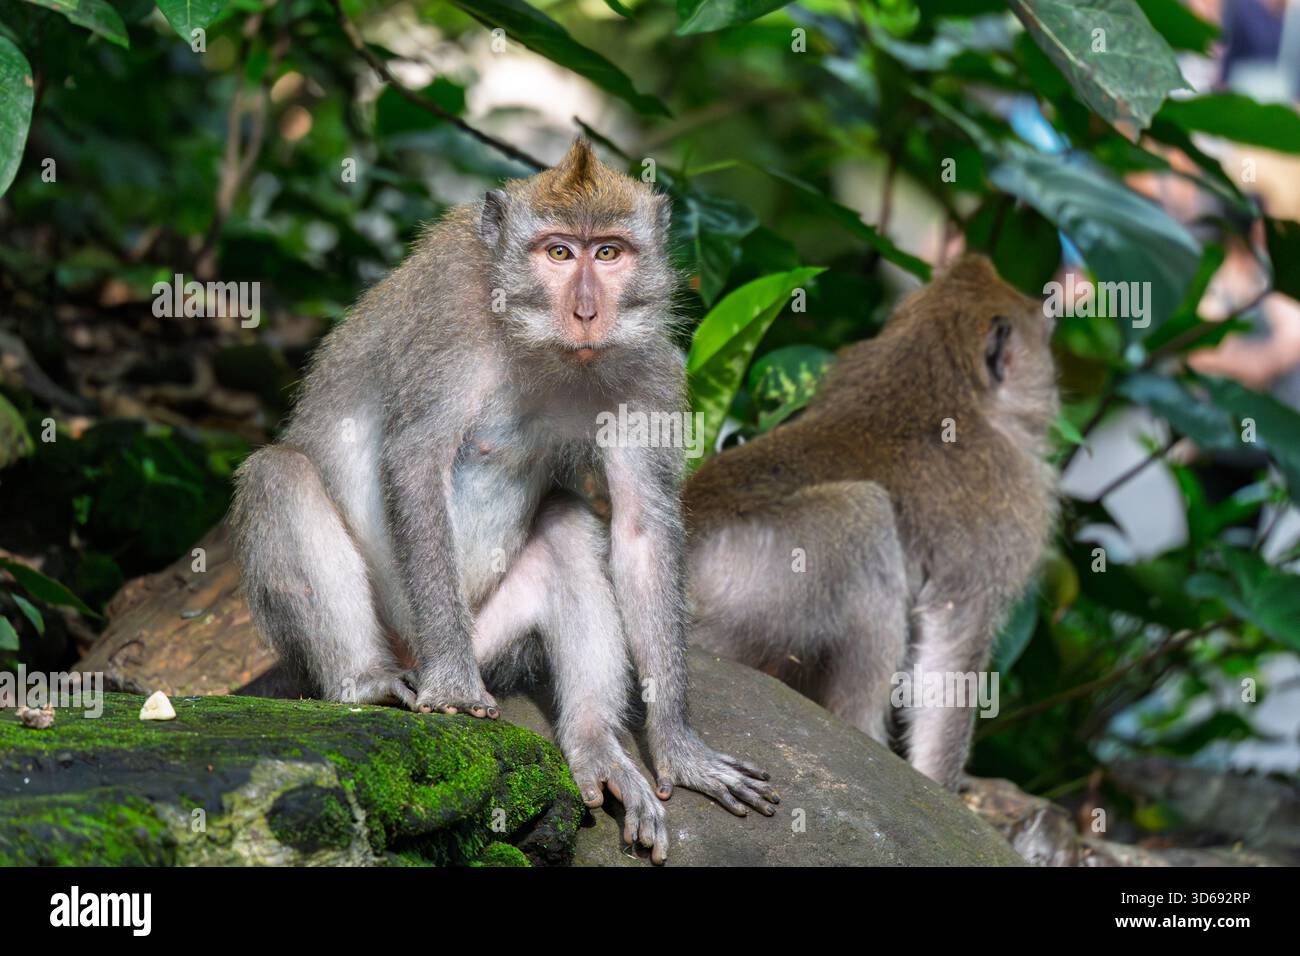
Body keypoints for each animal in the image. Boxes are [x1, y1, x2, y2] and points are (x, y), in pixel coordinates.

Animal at [228, 140, 775, 864]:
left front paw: (679, 748)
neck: (540, 343)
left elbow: (639, 529)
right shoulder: (450, 321)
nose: (587, 312)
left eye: (608, 252)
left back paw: (594, 743)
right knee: (278, 474)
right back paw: (368, 680)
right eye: (558, 253)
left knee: (570, 523)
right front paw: (456, 692)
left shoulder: (650, 366)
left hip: (494, 634)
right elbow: (415, 462)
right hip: (416, 635)